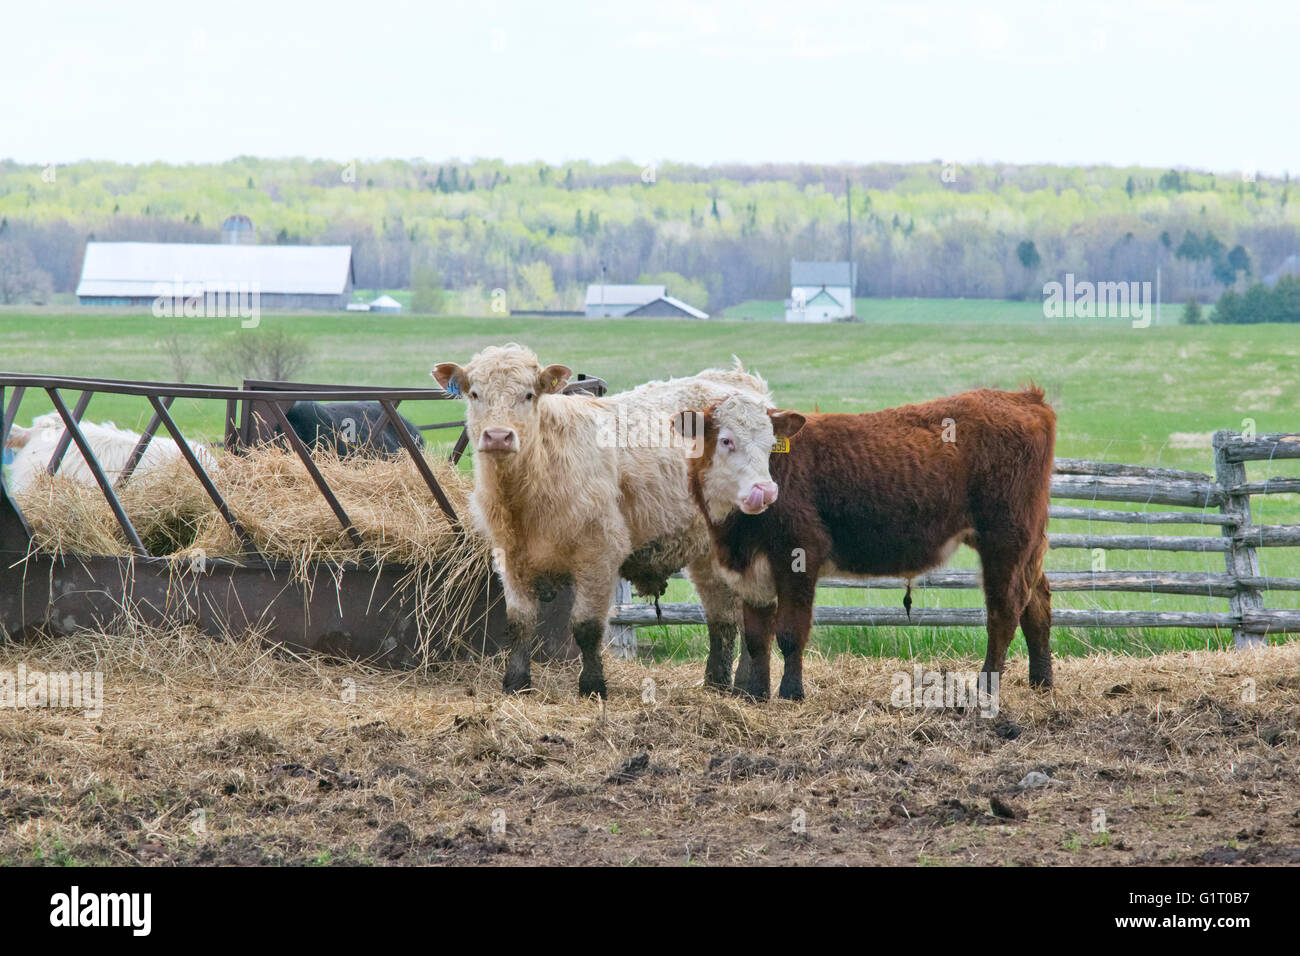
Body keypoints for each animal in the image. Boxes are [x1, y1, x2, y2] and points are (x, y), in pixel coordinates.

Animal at [433, 343, 769, 697]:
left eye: (528, 395)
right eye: (474, 393)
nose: (498, 436)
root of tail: (738, 378)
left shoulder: (599, 552)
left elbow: (586, 626)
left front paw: (592, 685)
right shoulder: (508, 555)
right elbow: (519, 622)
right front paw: (516, 682)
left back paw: (749, 687)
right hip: (705, 552)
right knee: (723, 616)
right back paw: (717, 683)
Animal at [674, 387, 1057, 701]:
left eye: (771, 443)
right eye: (726, 441)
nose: (765, 491)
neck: (736, 533)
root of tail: (1024, 398)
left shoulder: (799, 554)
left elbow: (789, 633)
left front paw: (791, 694)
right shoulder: (752, 571)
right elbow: (756, 638)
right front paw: (756, 696)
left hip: (1006, 539)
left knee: (1004, 611)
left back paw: (986, 687)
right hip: (1026, 544)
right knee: (1036, 602)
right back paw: (1042, 682)